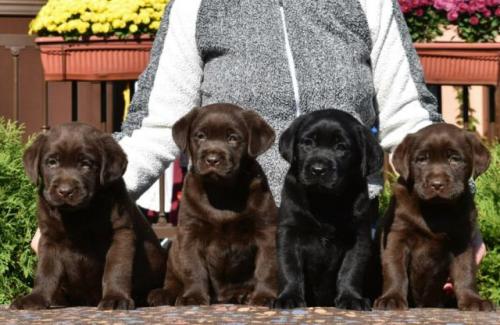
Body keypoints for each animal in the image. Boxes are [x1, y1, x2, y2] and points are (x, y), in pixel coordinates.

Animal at [274, 109, 382, 308]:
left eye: (341, 147)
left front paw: (351, 298)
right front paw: (288, 297)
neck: (325, 201)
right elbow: (290, 267)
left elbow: (351, 269)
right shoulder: (289, 231)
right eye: (307, 143)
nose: (318, 169)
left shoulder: (359, 236)